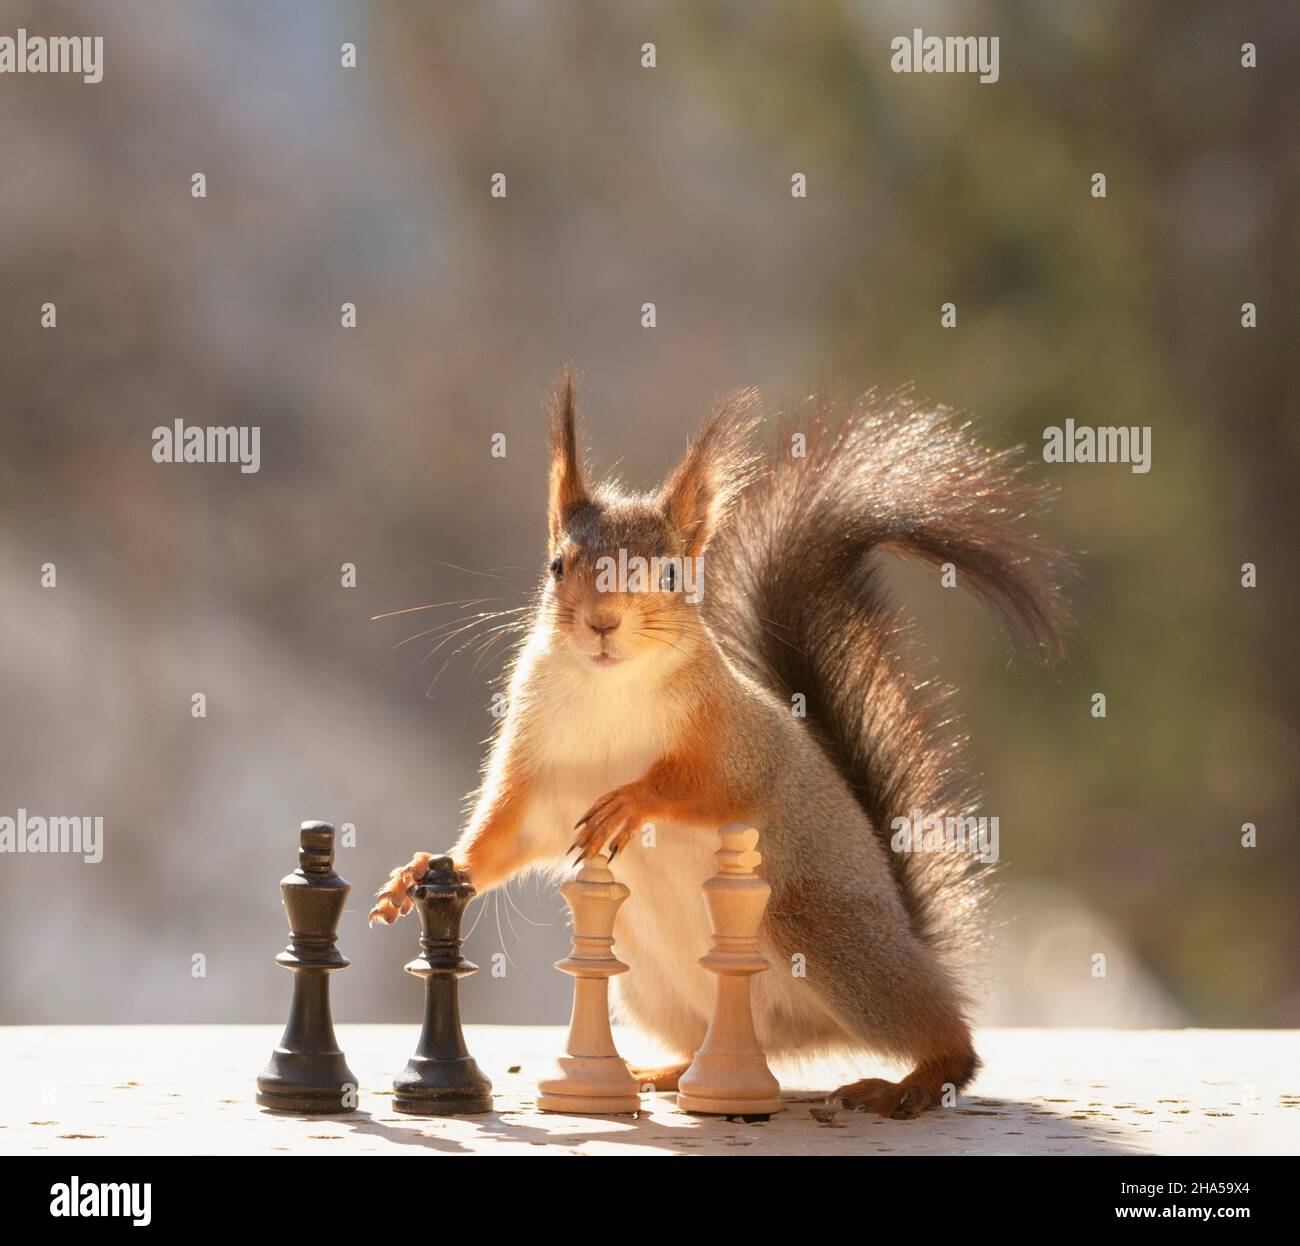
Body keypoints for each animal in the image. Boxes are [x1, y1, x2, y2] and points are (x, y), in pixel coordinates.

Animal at [369, 368, 1069, 1118]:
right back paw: (666, 1073)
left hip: (819, 931)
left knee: (951, 1041)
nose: (602, 623)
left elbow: (710, 787)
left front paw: (631, 802)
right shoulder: (535, 773)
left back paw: (905, 1083)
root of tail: (911, 939)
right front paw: (418, 872)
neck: (608, 691)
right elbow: (501, 838)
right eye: (557, 565)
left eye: (673, 575)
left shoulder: (738, 746)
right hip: (656, 987)